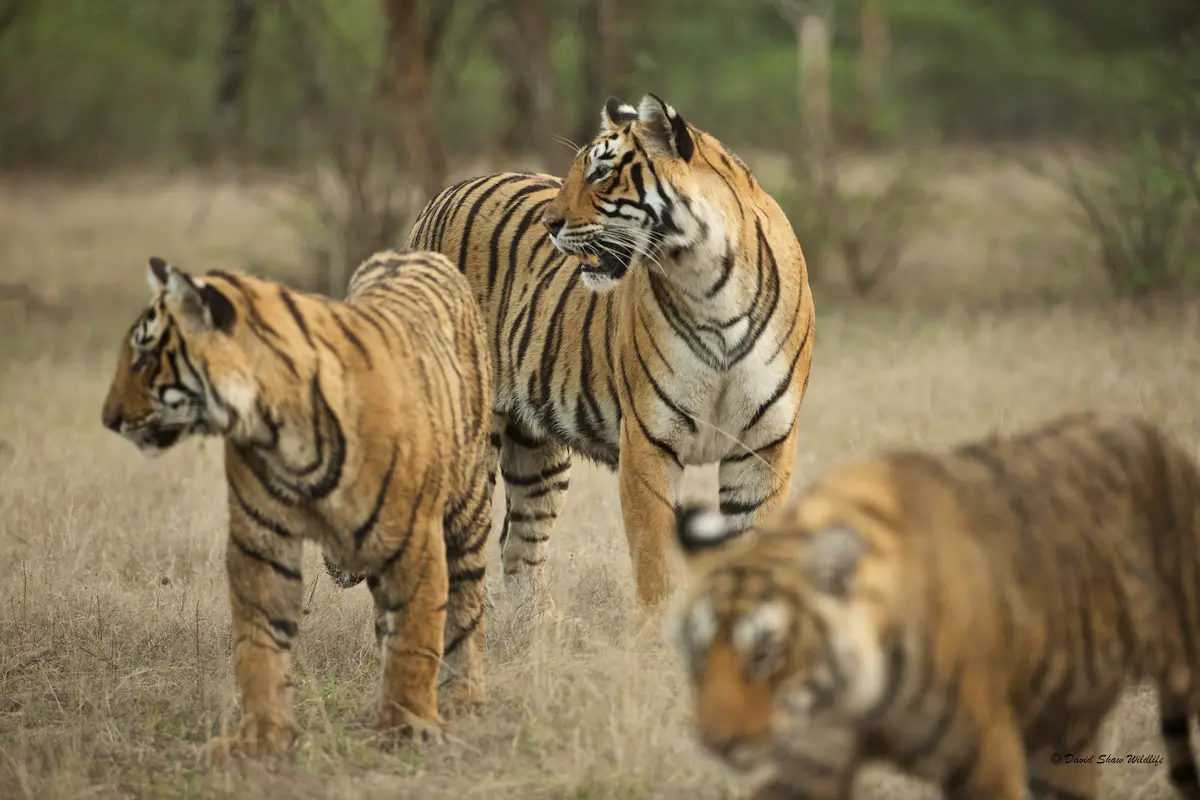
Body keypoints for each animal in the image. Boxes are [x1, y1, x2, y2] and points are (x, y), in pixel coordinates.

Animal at [100, 251, 495, 758]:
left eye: (145, 358)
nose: (108, 419)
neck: (279, 428)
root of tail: (418, 253)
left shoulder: (415, 540)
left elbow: (417, 636)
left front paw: (407, 727)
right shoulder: (261, 539)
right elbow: (259, 643)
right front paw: (259, 740)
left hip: (467, 508)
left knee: (466, 605)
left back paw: (464, 695)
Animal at [377, 92, 815, 621]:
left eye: (601, 173)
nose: (549, 225)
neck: (711, 288)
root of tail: (440, 198)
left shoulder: (765, 448)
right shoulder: (648, 441)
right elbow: (656, 565)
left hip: (538, 450)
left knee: (518, 546)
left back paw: (541, 632)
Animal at [667, 410, 1200, 800]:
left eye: (764, 654)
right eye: (698, 656)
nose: (716, 743)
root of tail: (1157, 436)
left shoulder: (986, 759)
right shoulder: (811, 761)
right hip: (1064, 740)